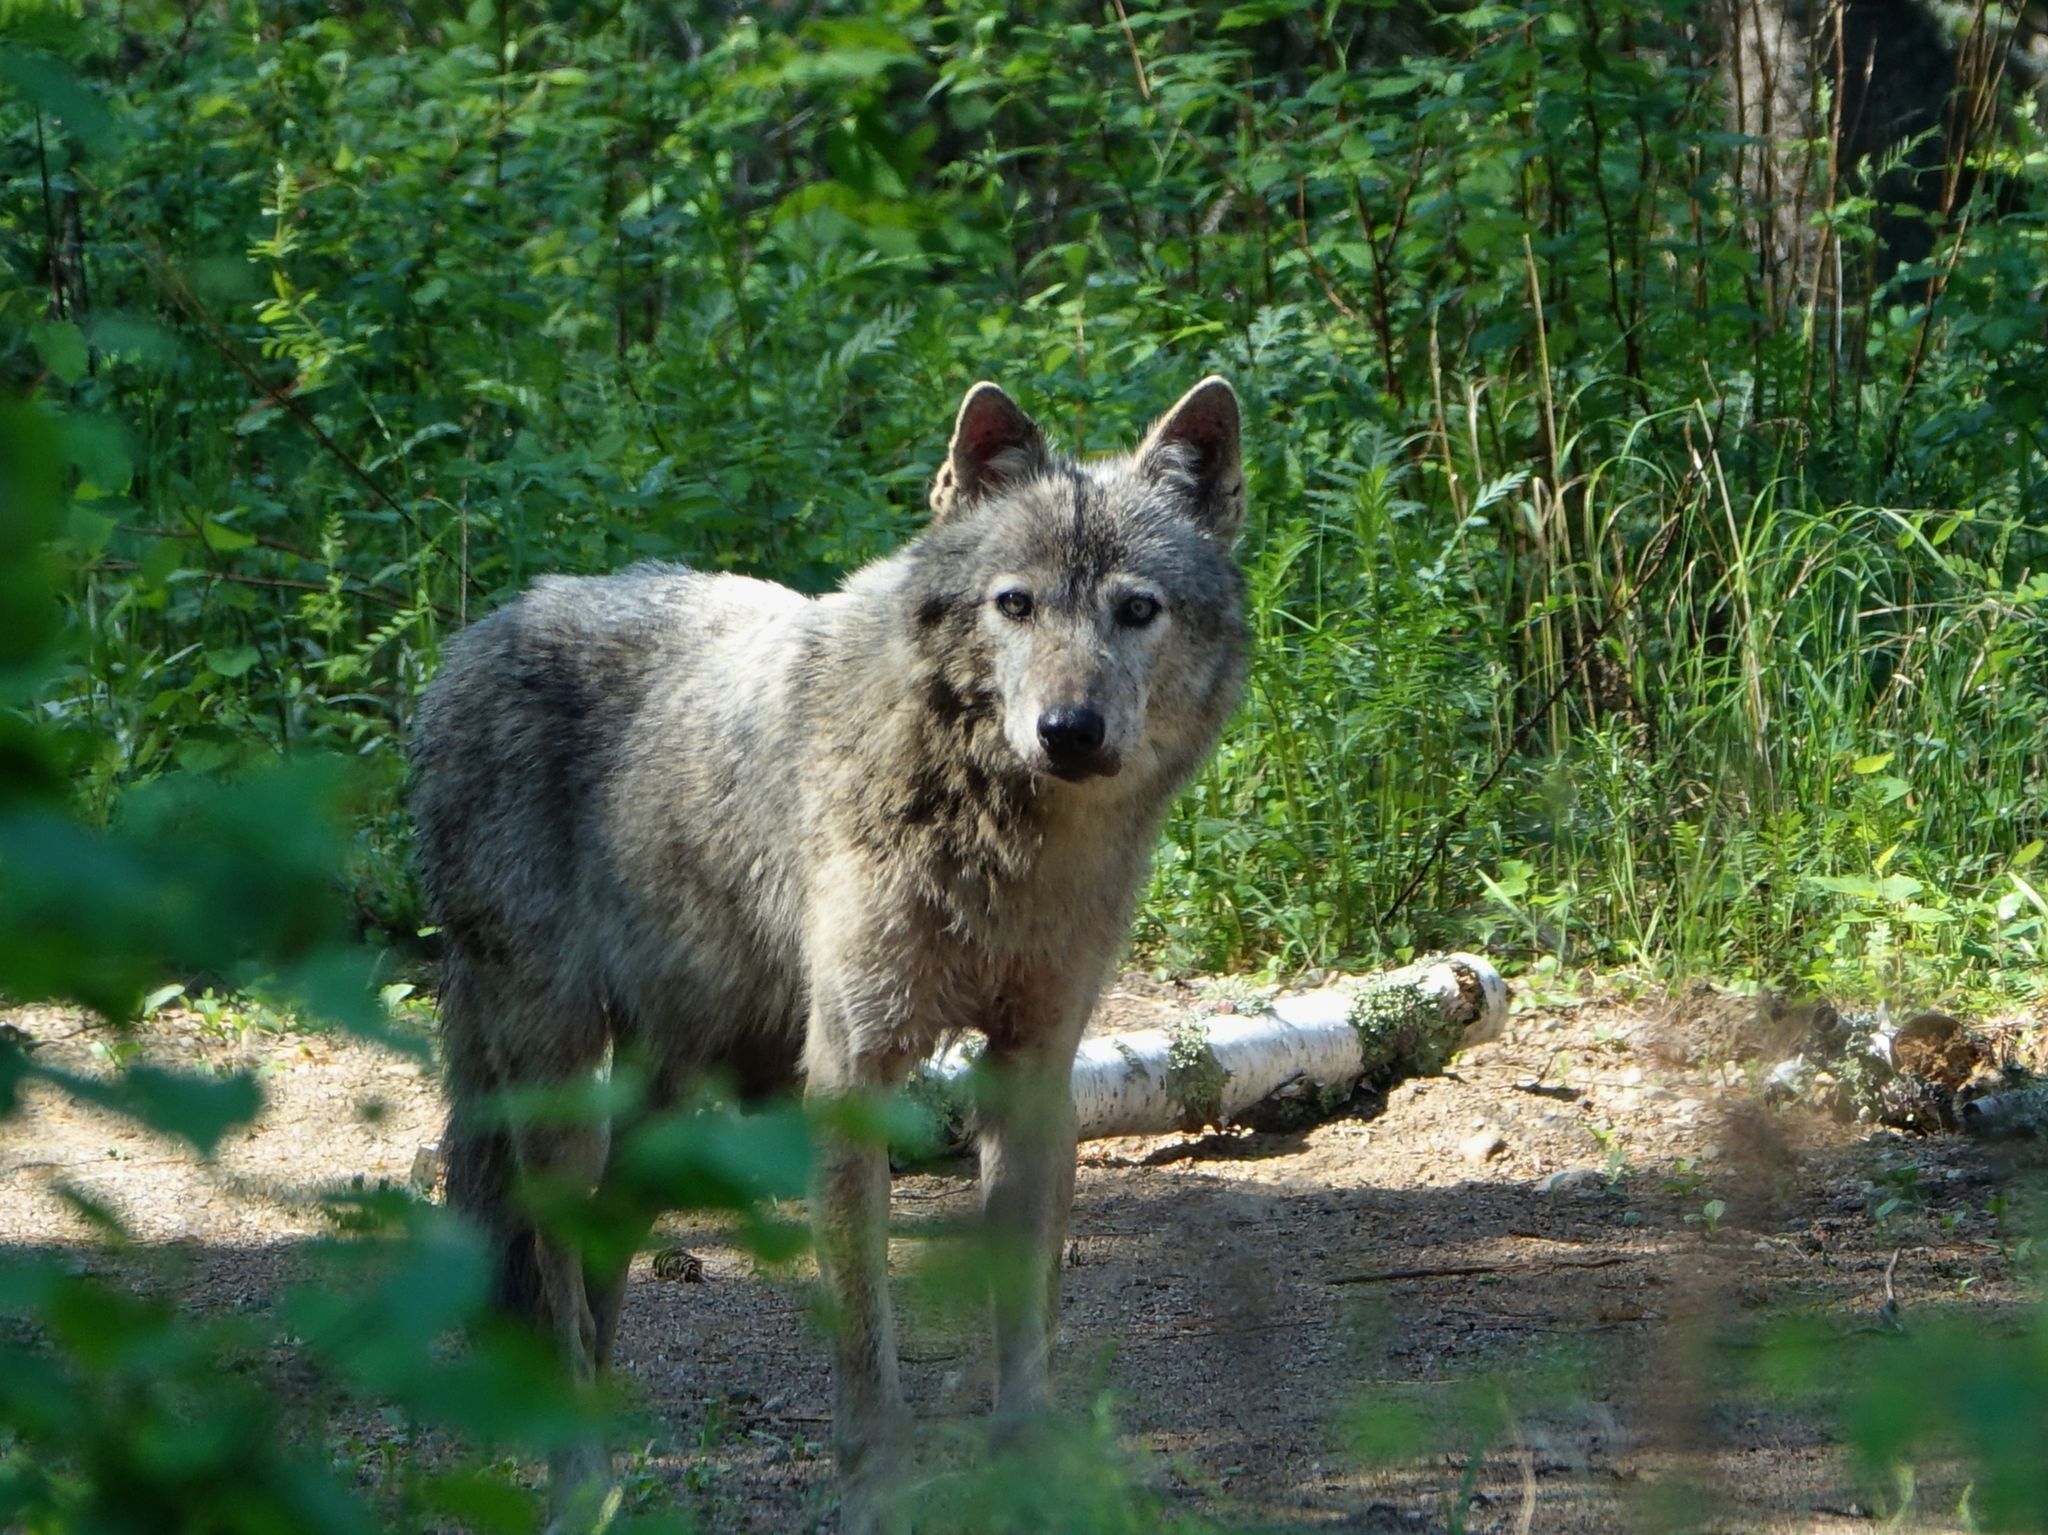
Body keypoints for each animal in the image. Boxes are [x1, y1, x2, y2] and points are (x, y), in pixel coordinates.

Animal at [409, 377, 1249, 1531]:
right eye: (1015, 604)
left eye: (1136, 609)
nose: (1068, 728)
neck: (998, 832)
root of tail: (476, 635)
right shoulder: (852, 1073)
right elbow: (867, 1346)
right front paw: (875, 1495)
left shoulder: (1034, 1067)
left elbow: (1024, 1320)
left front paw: (1029, 1477)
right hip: (561, 1088)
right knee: (555, 1271)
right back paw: (578, 1480)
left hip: (687, 1093)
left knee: (598, 1248)